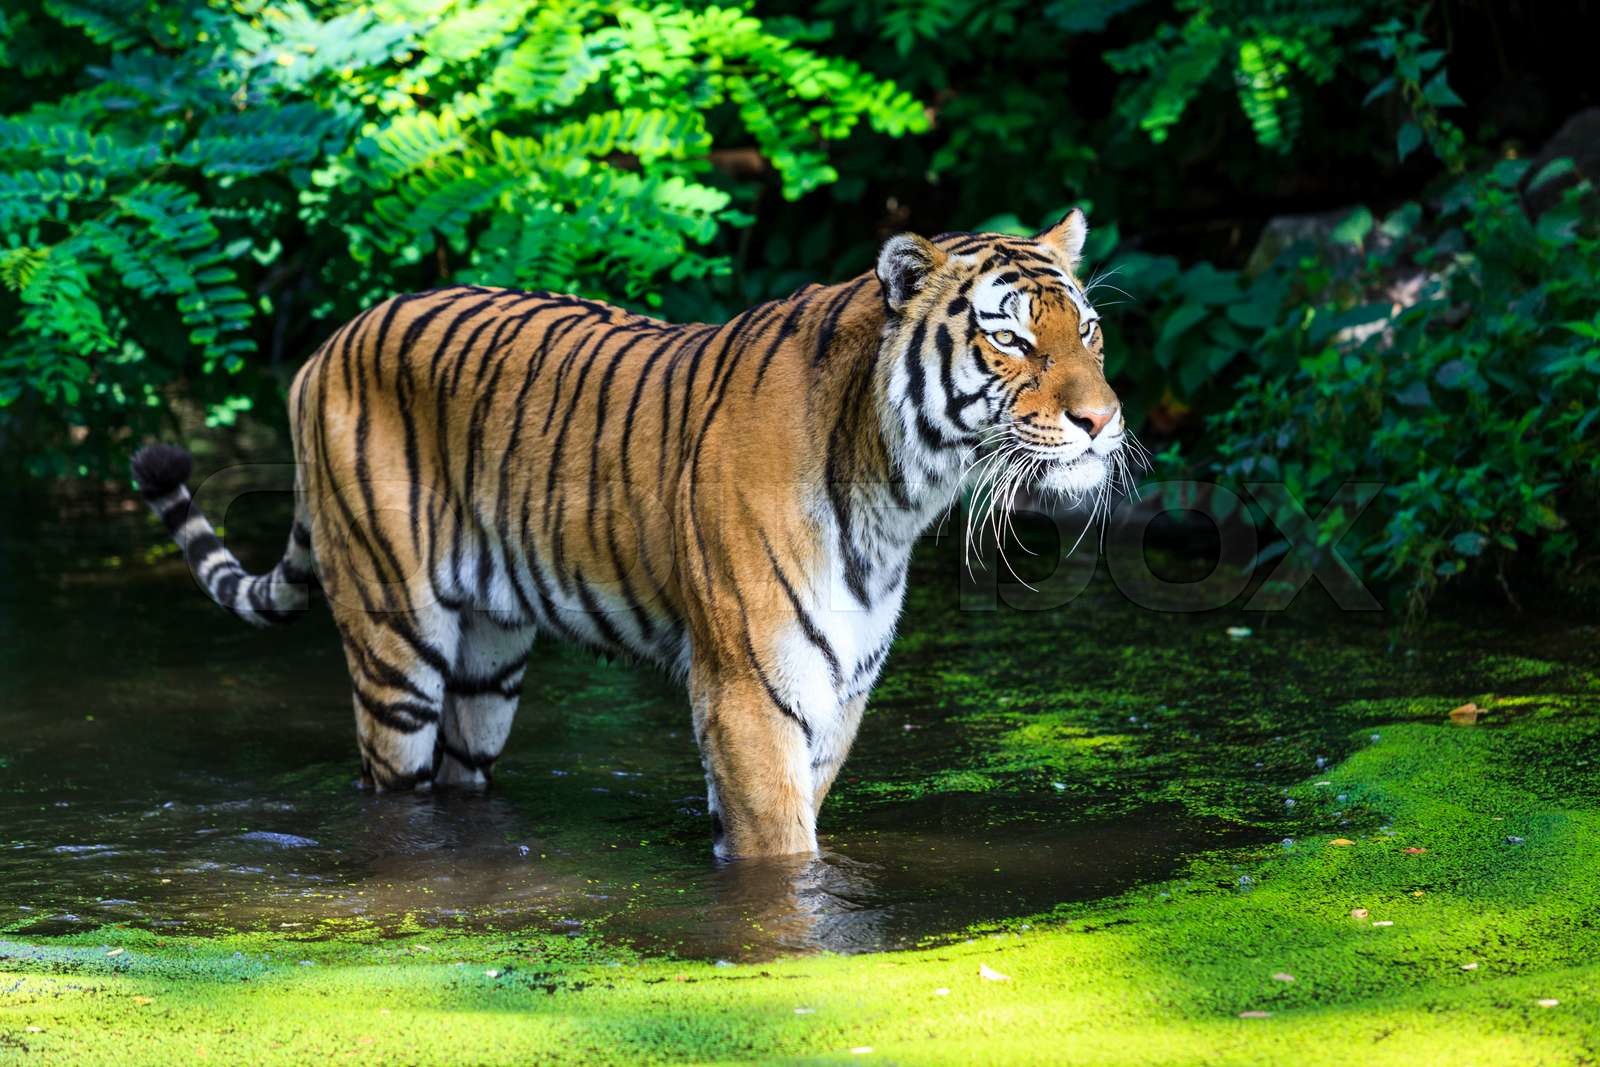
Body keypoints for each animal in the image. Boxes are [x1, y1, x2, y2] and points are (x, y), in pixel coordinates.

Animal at [131, 209, 1127, 859]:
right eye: (1012, 342)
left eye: (1088, 332)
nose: (1104, 420)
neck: (896, 486)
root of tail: (329, 343)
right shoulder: (749, 687)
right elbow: (782, 849)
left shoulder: (837, 690)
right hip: (395, 645)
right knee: (387, 787)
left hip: (489, 660)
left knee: (461, 776)